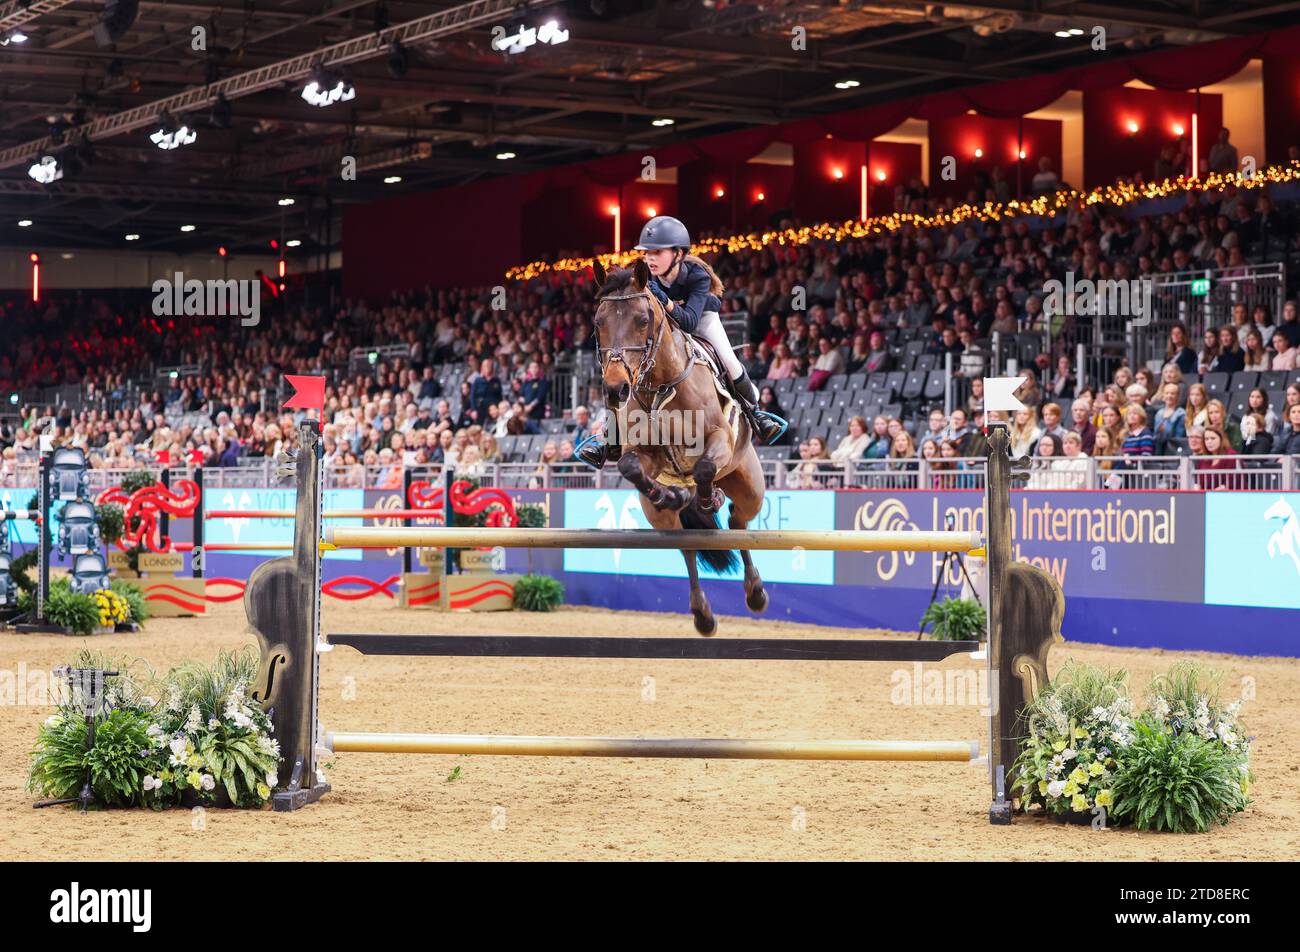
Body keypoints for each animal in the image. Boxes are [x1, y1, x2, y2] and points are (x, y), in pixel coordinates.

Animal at [591, 258, 768, 635]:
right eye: (598, 323)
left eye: (642, 320)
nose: (615, 389)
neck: (661, 385)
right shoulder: (647, 454)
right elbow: (630, 466)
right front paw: (669, 494)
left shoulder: (719, 440)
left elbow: (704, 467)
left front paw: (707, 498)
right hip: (658, 517)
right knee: (686, 545)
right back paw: (703, 615)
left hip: (749, 485)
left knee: (738, 522)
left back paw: (756, 592)